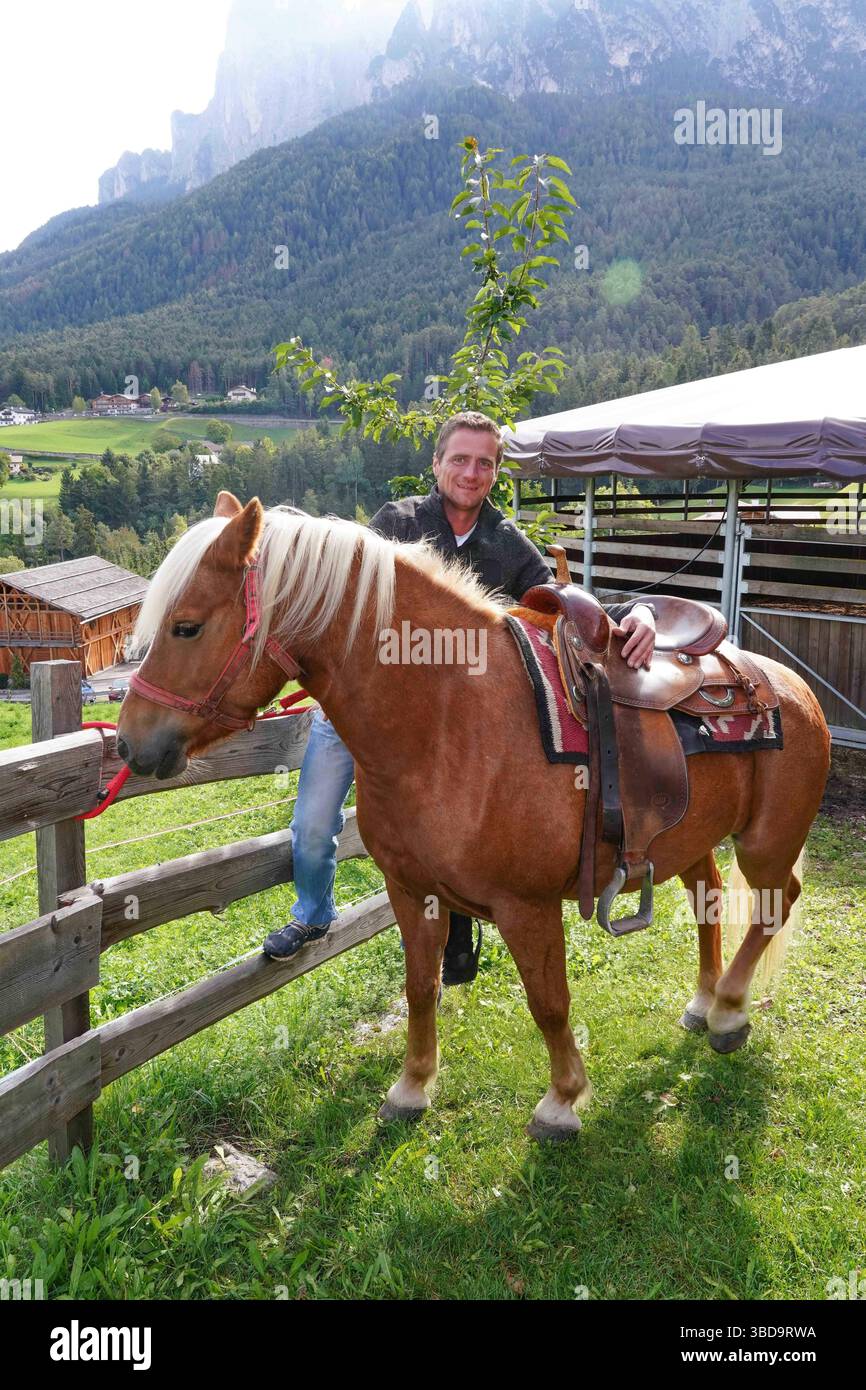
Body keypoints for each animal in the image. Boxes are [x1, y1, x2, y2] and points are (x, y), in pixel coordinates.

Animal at [116, 492, 831, 1141]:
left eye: (186, 626)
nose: (129, 743)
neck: (449, 718)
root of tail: (787, 683)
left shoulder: (526, 907)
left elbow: (549, 1002)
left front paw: (562, 1100)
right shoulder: (413, 893)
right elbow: (420, 988)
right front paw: (411, 1087)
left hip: (765, 843)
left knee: (775, 903)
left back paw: (730, 1011)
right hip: (688, 841)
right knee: (709, 896)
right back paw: (704, 1001)